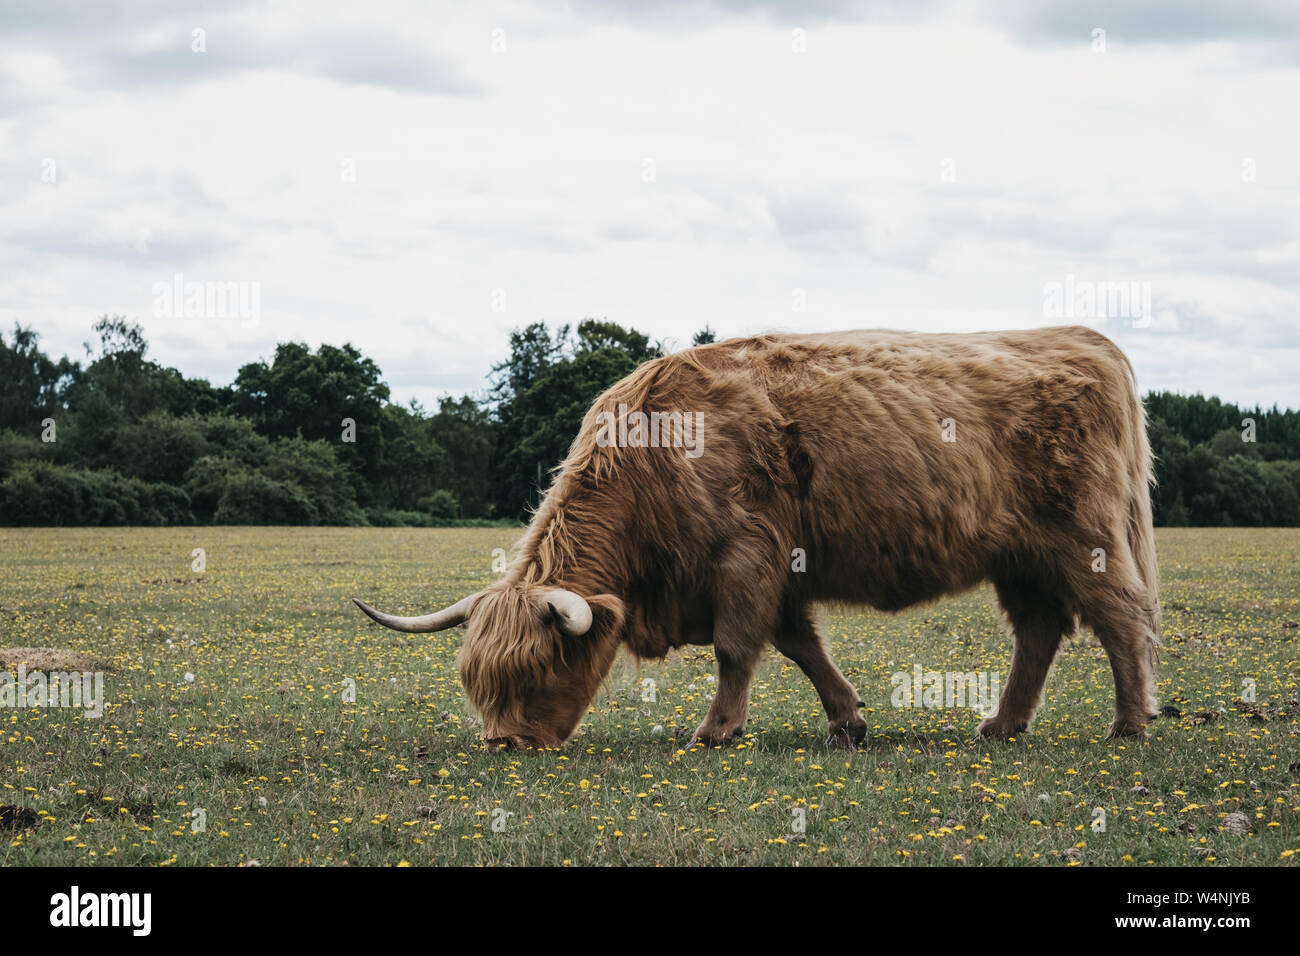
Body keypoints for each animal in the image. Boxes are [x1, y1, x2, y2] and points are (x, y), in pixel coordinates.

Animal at [355, 326, 1160, 750]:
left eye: (538, 670)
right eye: (478, 681)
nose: (505, 745)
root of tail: (1083, 339)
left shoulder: (746, 559)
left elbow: (738, 648)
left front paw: (716, 731)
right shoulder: (778, 572)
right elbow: (800, 645)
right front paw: (847, 721)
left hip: (1083, 539)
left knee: (1120, 618)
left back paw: (1128, 724)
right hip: (1020, 556)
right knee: (1040, 629)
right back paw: (1002, 723)